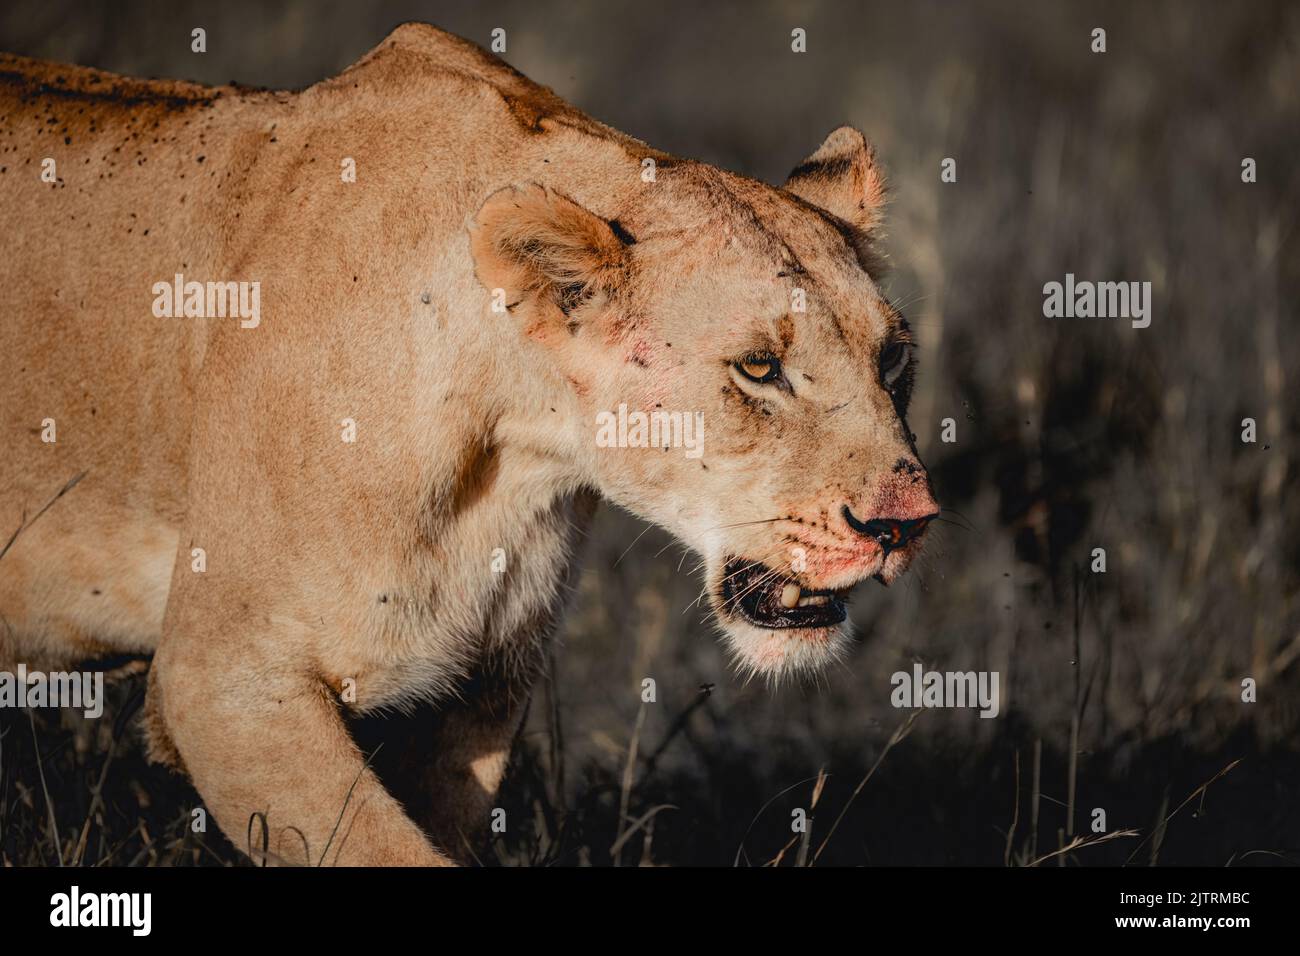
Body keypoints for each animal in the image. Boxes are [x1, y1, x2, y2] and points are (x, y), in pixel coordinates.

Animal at [0, 22, 938, 865]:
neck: (514, 448)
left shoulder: (473, 691)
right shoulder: (223, 681)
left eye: (893, 359)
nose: (906, 524)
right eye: (759, 368)